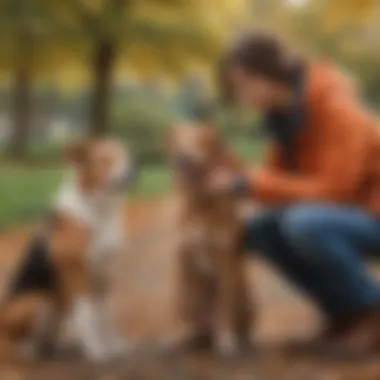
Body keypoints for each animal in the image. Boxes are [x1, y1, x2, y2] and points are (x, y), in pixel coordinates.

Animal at [0, 137, 136, 362]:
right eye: (104, 159)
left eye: (125, 155)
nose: (131, 172)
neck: (98, 210)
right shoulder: (78, 274)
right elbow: (88, 314)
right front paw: (98, 351)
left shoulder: (102, 274)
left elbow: (105, 315)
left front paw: (112, 344)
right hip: (35, 299)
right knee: (13, 343)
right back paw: (29, 350)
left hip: (58, 307)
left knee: (46, 336)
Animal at [166, 123, 252, 354]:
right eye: (178, 140)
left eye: (200, 140)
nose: (184, 156)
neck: (201, 201)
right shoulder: (182, 257)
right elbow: (177, 303)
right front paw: (173, 337)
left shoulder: (224, 260)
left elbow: (224, 306)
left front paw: (226, 340)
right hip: (196, 297)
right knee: (194, 321)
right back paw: (193, 337)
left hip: (244, 291)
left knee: (238, 321)